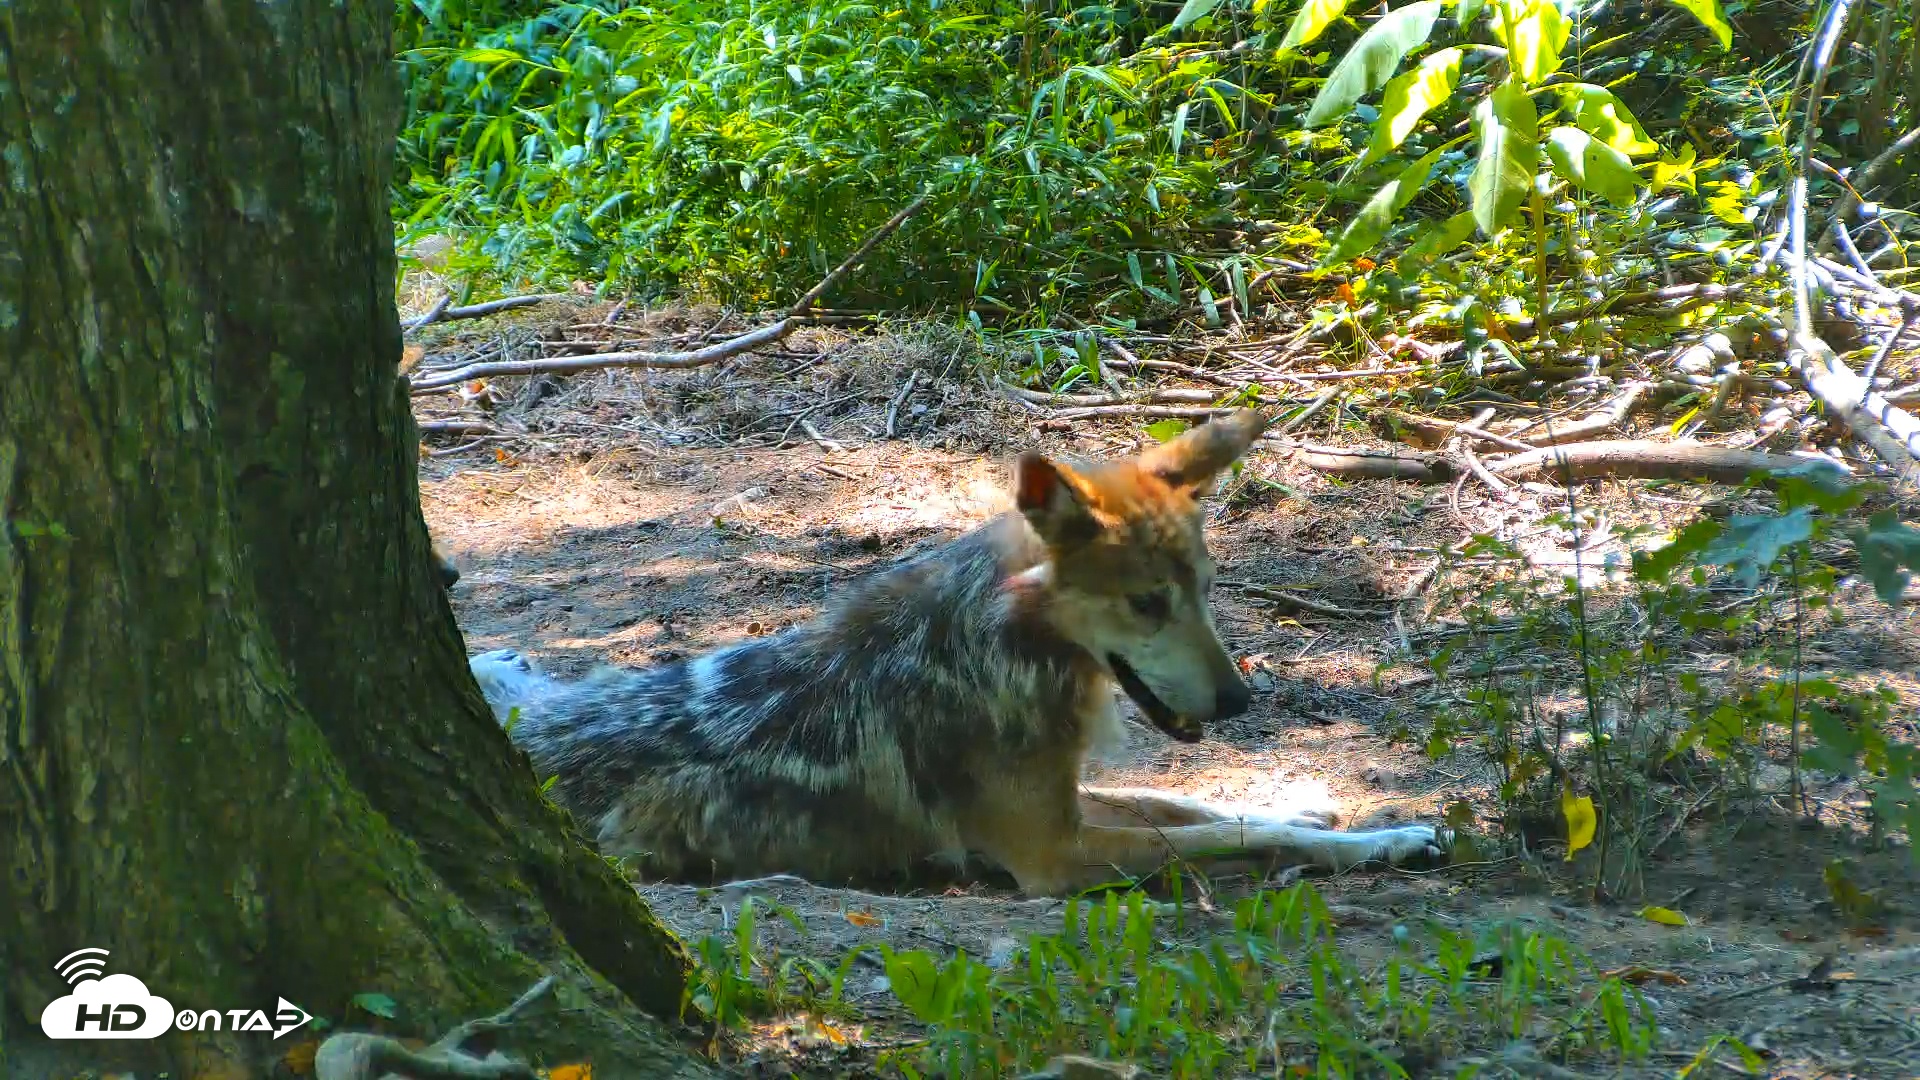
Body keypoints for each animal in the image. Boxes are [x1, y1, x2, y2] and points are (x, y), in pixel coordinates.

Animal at [468, 409, 1447, 896]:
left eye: (1206, 588)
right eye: (1147, 605)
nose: (1242, 704)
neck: (993, 646)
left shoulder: (1066, 800)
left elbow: (1194, 802)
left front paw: (1339, 814)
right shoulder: (1054, 858)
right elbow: (1226, 833)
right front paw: (1374, 837)